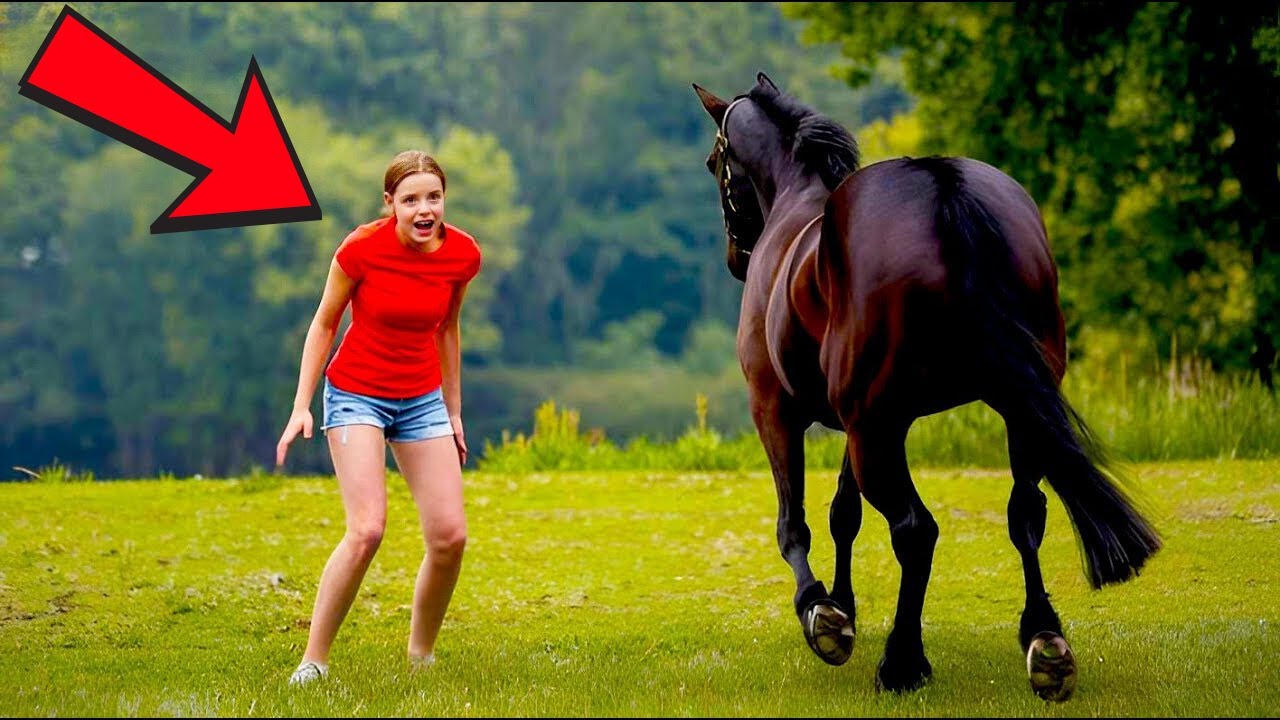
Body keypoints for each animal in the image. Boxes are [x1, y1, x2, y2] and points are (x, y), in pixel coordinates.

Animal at [693, 73, 1161, 701]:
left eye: (715, 161)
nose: (734, 259)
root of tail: (943, 188)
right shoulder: (857, 425)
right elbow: (844, 514)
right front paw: (844, 606)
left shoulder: (779, 411)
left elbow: (795, 524)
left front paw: (820, 610)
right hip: (1004, 413)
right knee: (1025, 512)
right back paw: (1043, 638)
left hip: (876, 432)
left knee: (916, 530)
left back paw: (902, 660)